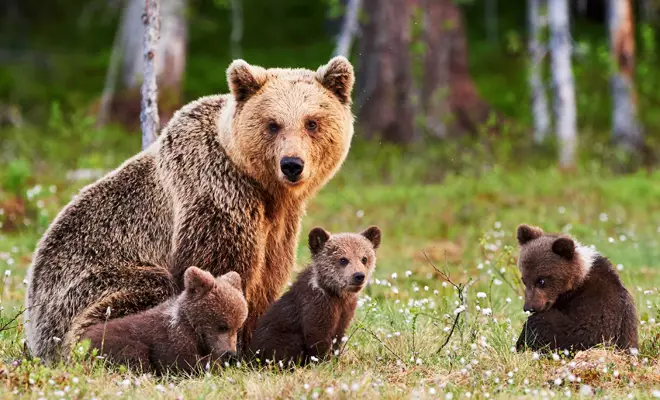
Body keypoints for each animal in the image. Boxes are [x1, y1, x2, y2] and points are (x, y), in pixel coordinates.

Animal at [24, 57, 356, 362]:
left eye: (312, 122)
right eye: (272, 124)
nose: (292, 164)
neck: (263, 188)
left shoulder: (279, 225)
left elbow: (267, 278)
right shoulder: (216, 193)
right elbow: (219, 269)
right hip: (85, 288)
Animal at [248, 225, 382, 366]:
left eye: (364, 258)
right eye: (343, 259)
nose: (359, 276)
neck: (335, 294)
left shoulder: (345, 311)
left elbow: (338, 336)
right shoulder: (316, 307)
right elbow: (317, 338)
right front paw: (323, 362)